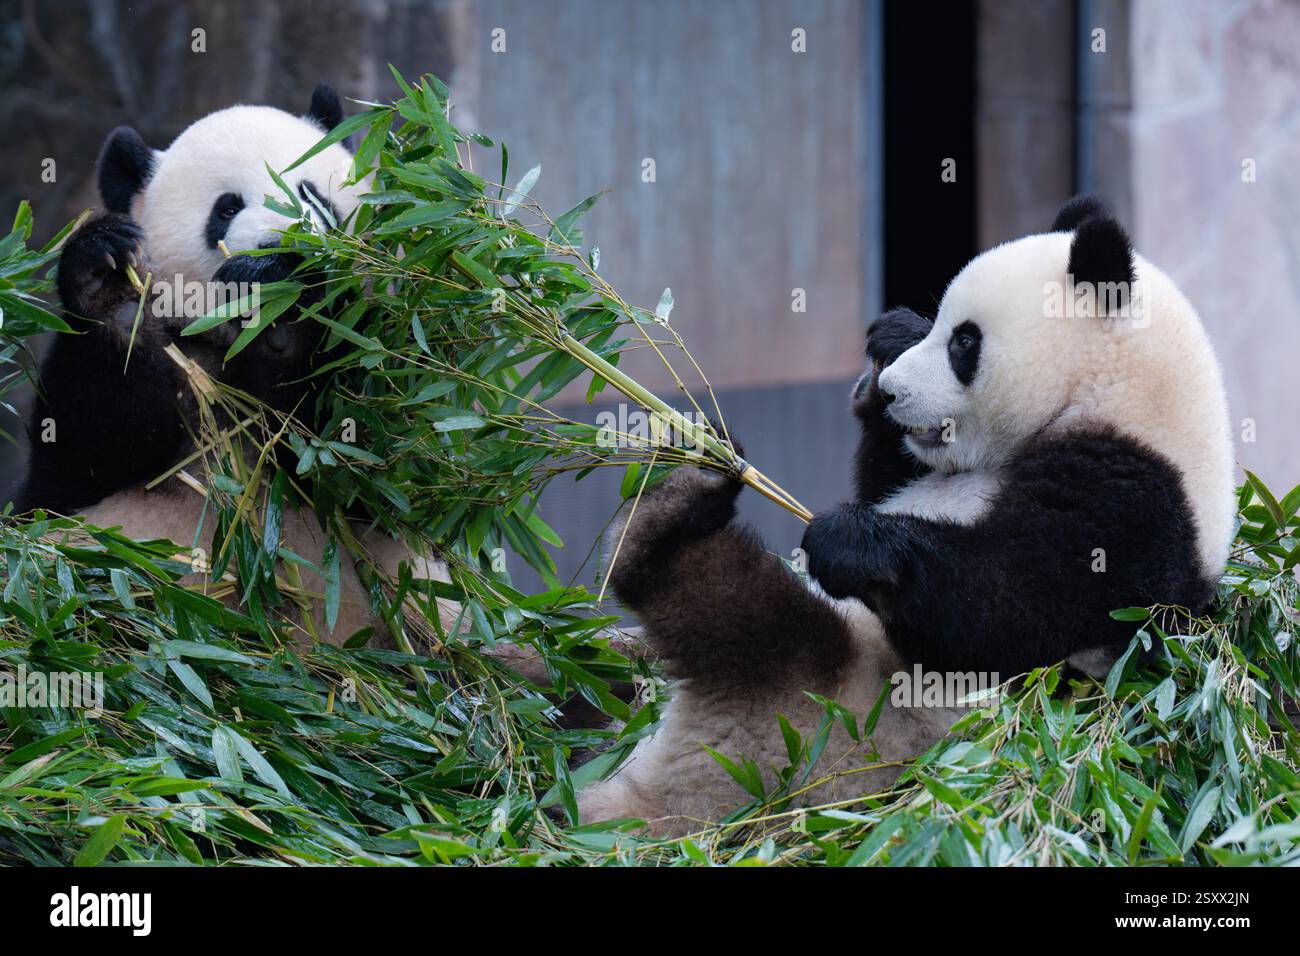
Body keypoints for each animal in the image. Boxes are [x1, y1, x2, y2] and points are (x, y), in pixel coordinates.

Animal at [577, 197, 1236, 835]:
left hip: (837, 716)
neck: (1117, 396)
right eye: (941, 325)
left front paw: (846, 541)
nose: (893, 389)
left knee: (742, 613)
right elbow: (886, 480)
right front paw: (891, 337)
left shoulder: (1138, 504)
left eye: (964, 342)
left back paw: (674, 514)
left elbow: (1007, 609)